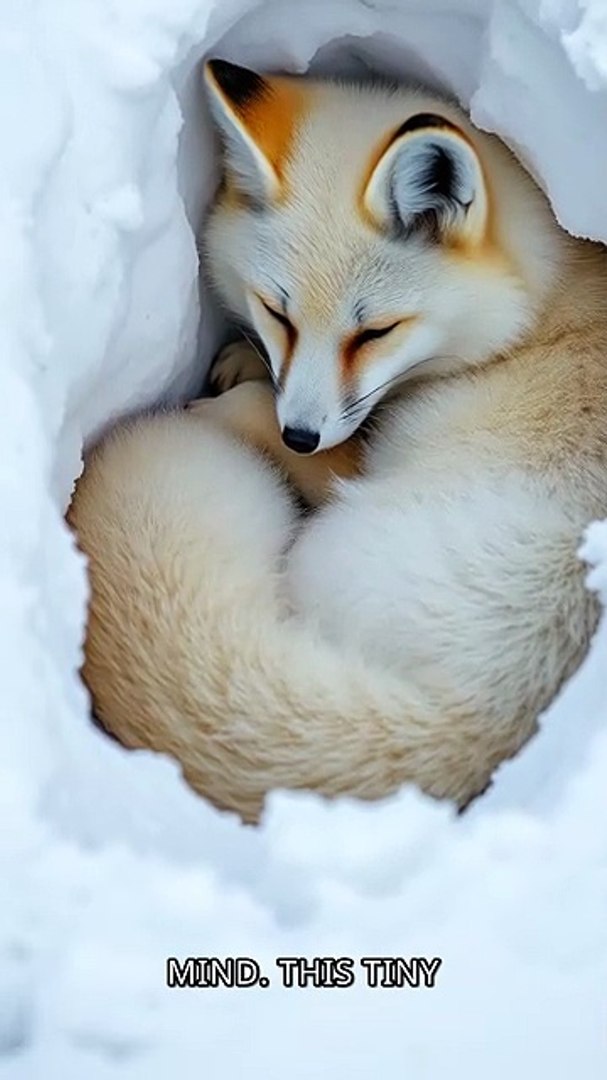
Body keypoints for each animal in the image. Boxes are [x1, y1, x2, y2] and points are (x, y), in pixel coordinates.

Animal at [67, 60, 607, 823]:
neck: (535, 309)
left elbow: (261, 413)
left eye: (375, 332)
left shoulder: (348, 453)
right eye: (277, 313)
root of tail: (478, 720)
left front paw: (228, 401)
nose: (299, 436)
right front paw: (242, 359)